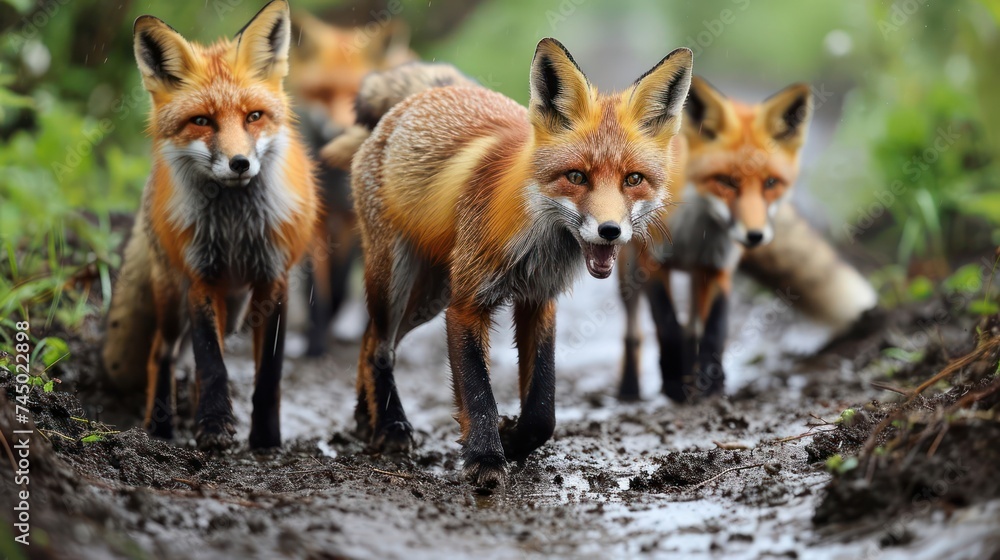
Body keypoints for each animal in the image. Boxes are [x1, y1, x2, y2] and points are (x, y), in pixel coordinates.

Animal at [101, 1, 319, 450]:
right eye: (202, 121)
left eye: (254, 116)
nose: (240, 163)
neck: (235, 228)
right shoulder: (201, 278)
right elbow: (210, 361)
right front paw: (215, 427)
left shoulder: (274, 279)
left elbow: (268, 372)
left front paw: (265, 439)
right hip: (172, 296)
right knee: (161, 355)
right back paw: (159, 430)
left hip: (232, 305)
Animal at [288, 13, 415, 356]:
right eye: (321, 92)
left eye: (356, 96)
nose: (338, 130)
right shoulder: (317, 217)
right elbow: (317, 290)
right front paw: (315, 341)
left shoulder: (352, 220)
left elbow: (341, 283)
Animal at [325, 40, 693, 488]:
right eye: (576, 176)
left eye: (633, 179)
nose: (610, 231)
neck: (535, 241)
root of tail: (426, 95)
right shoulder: (466, 305)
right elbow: (478, 391)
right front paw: (486, 457)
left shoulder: (539, 300)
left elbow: (543, 412)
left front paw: (513, 439)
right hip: (398, 280)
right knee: (380, 347)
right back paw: (391, 426)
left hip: (430, 297)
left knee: (371, 340)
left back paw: (367, 419)